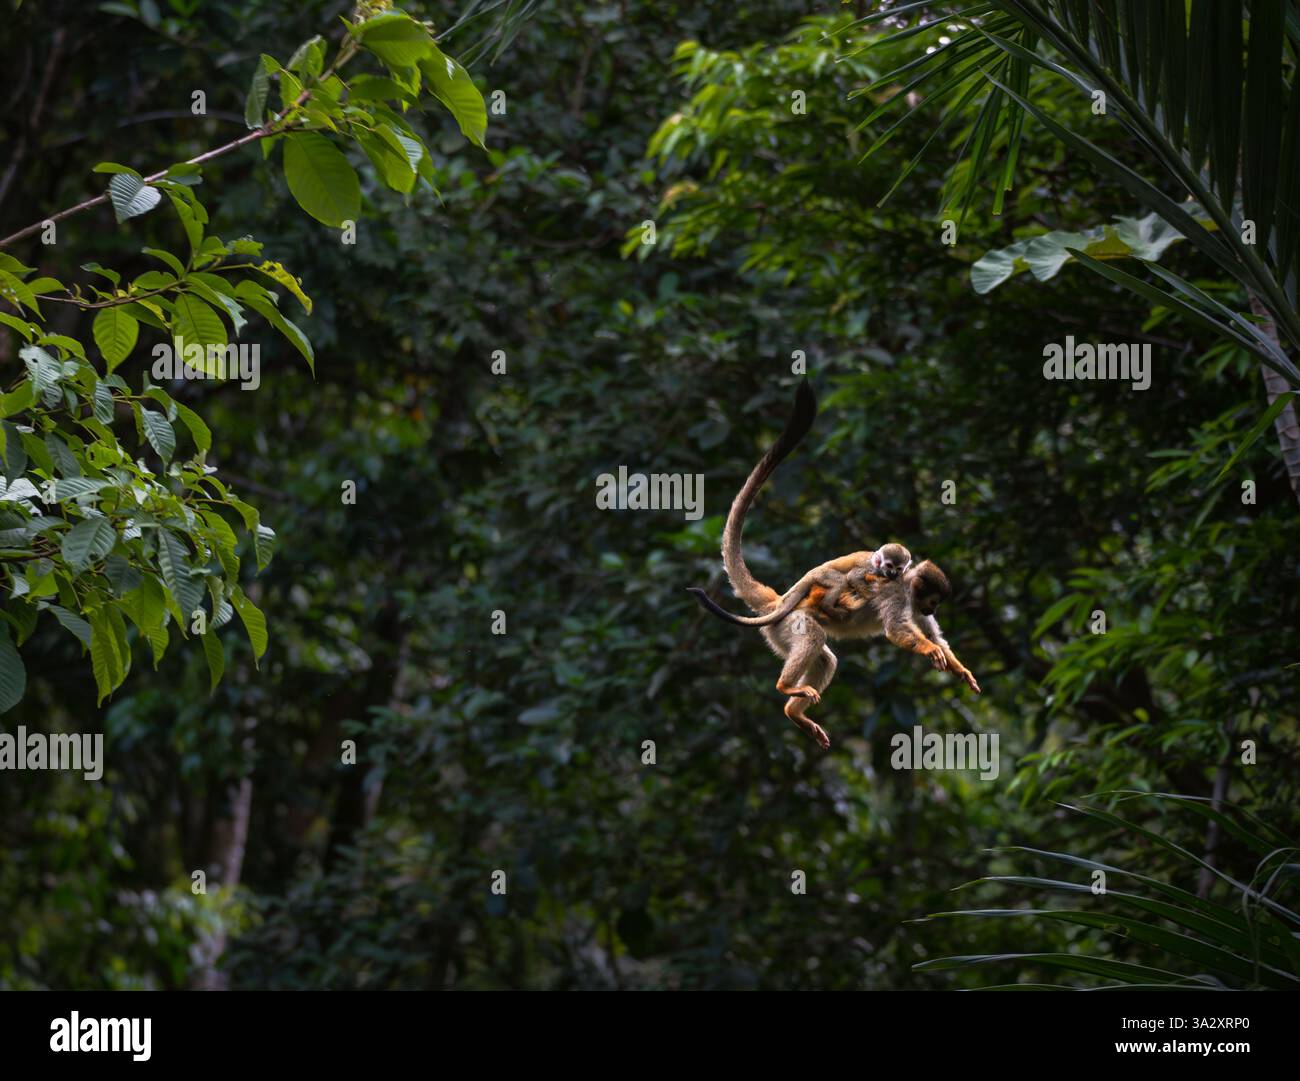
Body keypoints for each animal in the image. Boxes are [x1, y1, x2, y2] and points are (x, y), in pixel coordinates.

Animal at [686, 383, 979, 748]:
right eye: (934, 600)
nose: (931, 608)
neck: (908, 588)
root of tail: (780, 601)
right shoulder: (897, 593)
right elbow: (898, 631)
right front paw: (928, 650)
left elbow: (935, 635)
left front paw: (958, 668)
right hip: (787, 623)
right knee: (812, 635)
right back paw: (786, 686)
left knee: (826, 657)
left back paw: (794, 712)